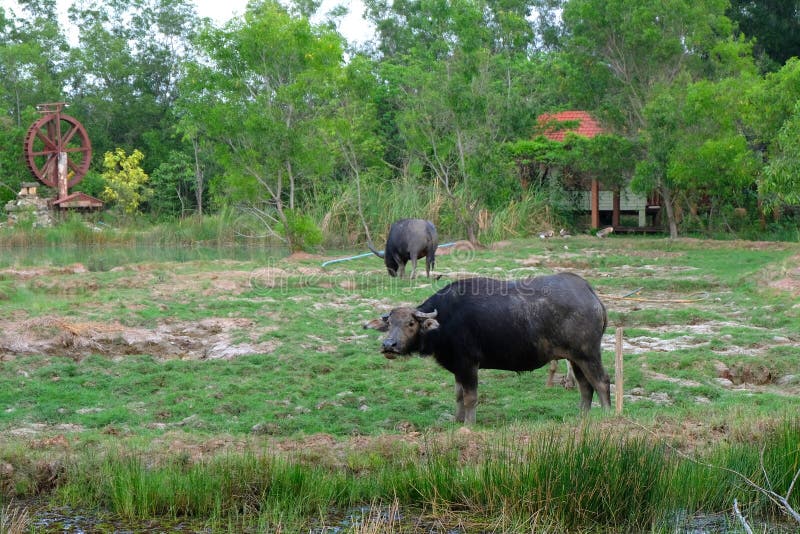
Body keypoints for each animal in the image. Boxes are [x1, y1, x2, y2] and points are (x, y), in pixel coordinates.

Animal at [365, 273, 611, 424]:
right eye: (390, 323)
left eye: (410, 323)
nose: (388, 345)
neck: (445, 320)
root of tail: (590, 293)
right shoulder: (458, 367)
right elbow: (458, 395)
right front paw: (457, 420)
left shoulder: (469, 364)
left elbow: (470, 397)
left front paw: (469, 423)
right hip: (575, 358)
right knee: (585, 387)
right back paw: (582, 417)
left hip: (588, 354)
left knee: (601, 382)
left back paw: (608, 414)